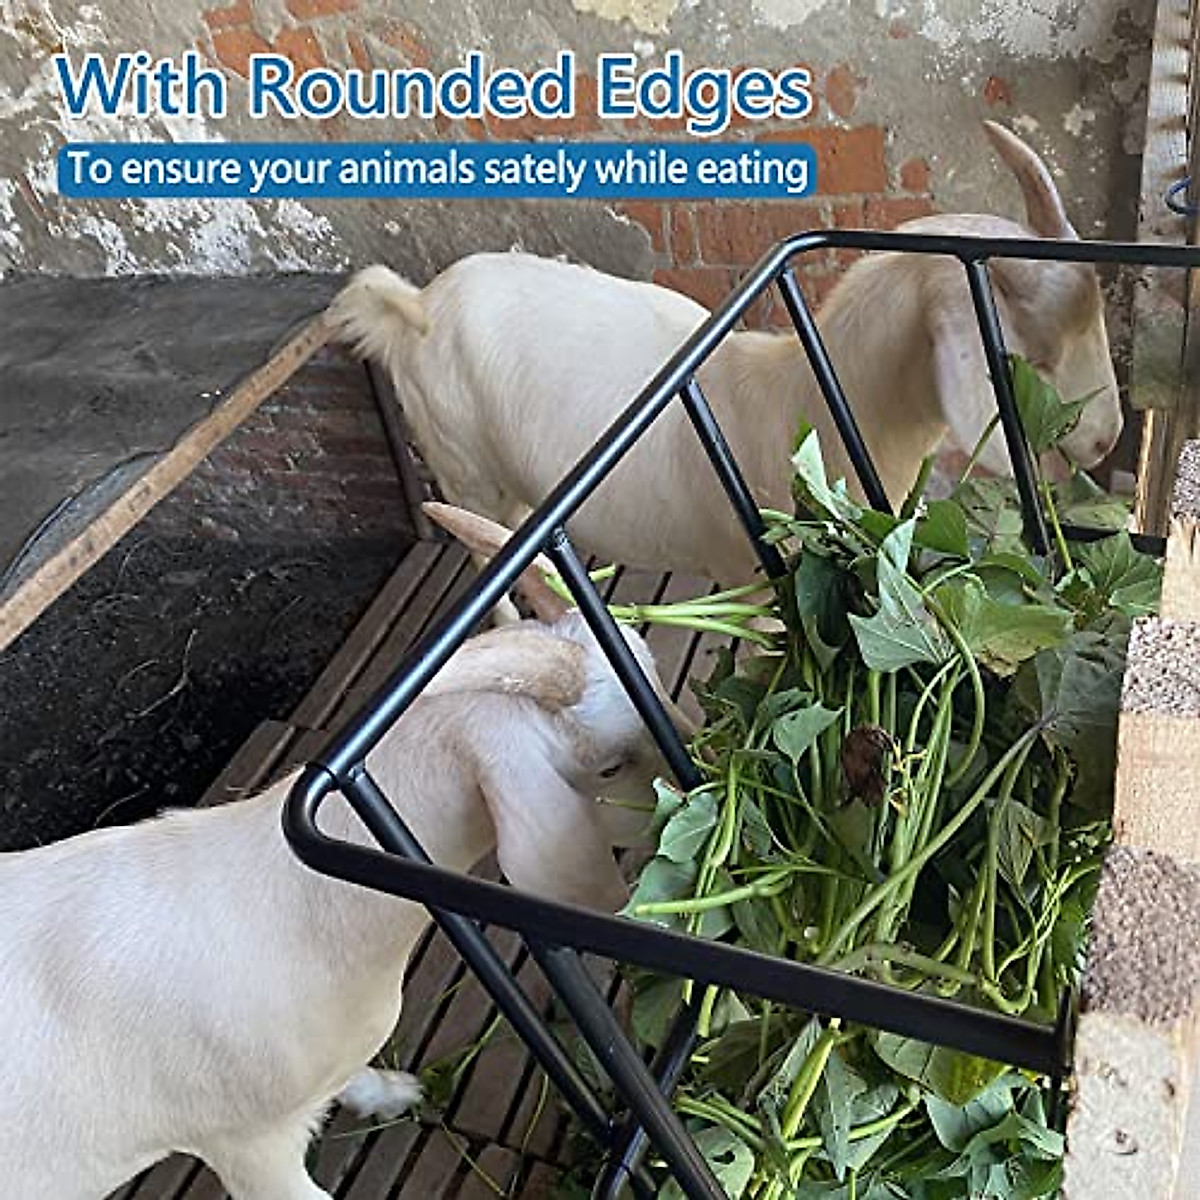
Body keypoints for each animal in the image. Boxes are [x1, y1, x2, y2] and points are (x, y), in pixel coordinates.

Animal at [329, 122, 1121, 592]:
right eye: (1032, 354)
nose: (1107, 440)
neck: (811, 401)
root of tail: (415, 306)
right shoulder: (762, 579)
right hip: (462, 471)